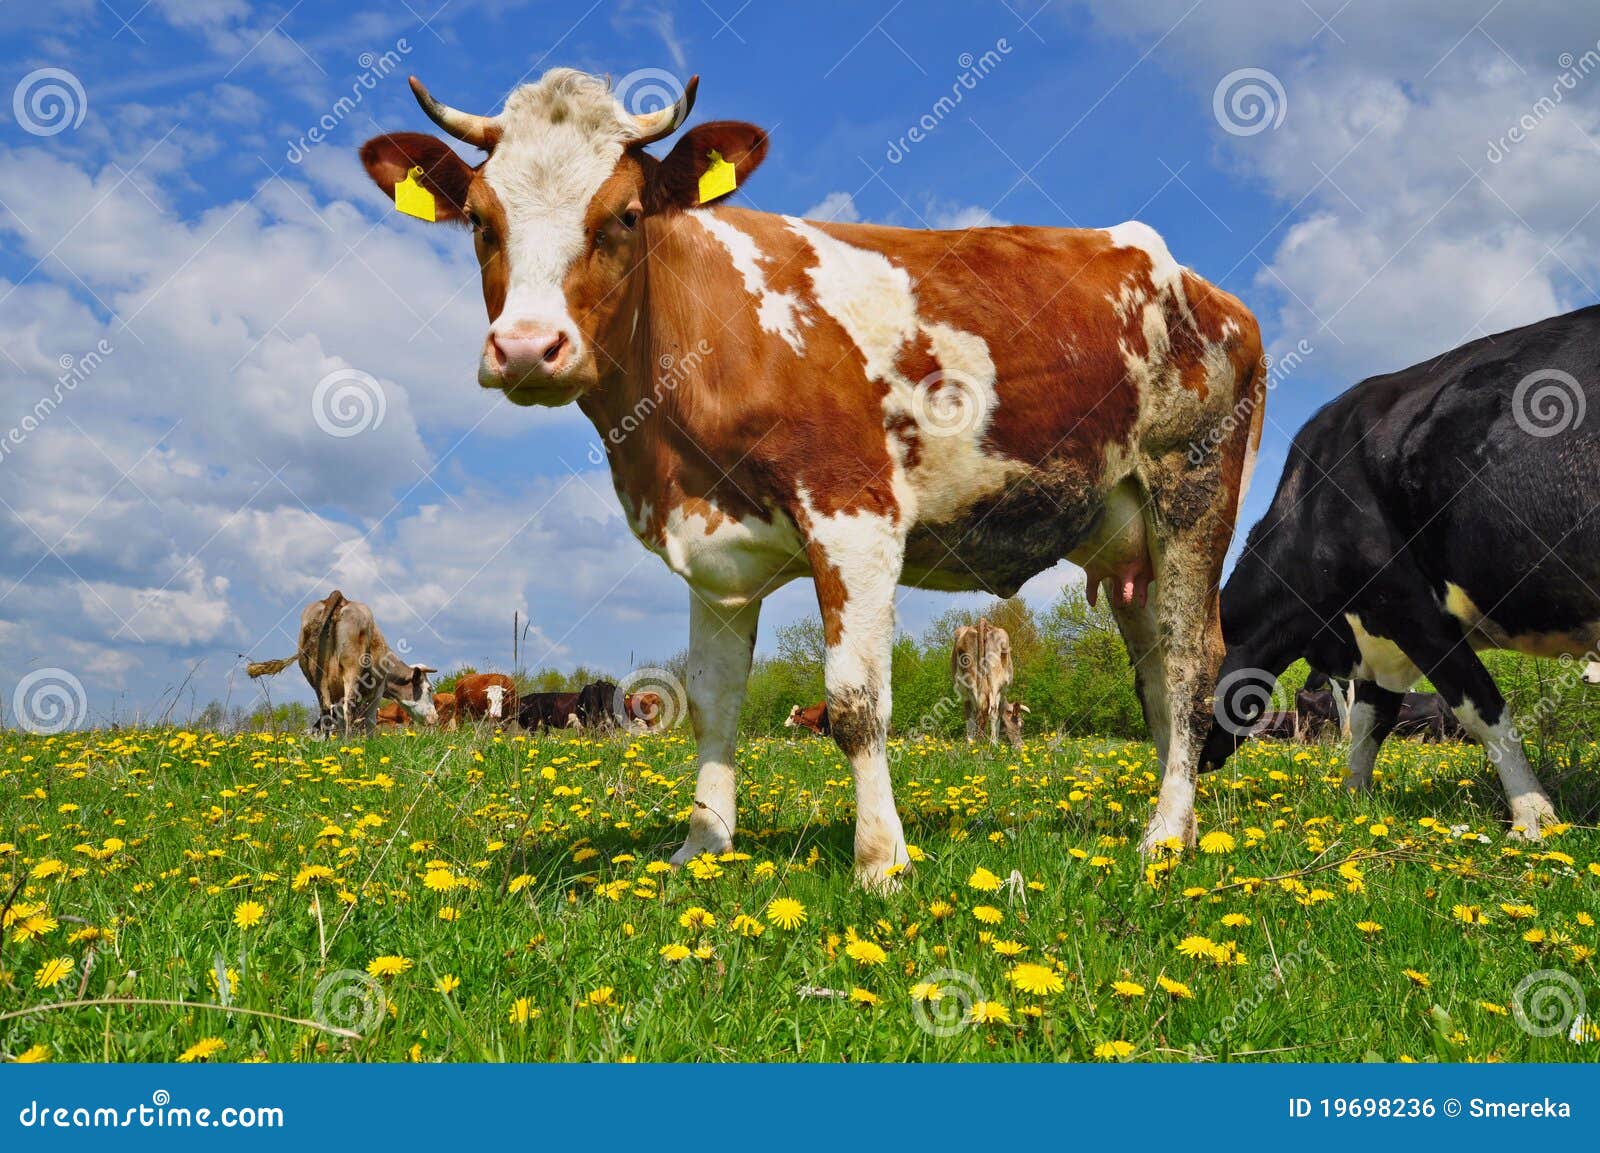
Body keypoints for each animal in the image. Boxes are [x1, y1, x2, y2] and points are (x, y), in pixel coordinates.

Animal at [247, 590, 438, 736]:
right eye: (429, 689)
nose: (435, 718)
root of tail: (340, 598)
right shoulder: (377, 692)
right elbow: (369, 722)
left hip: (314, 673)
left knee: (326, 709)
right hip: (352, 668)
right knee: (347, 708)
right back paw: (347, 742)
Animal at [360, 68, 1263, 881]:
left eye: (622, 215)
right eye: (481, 222)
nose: (525, 347)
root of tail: (1200, 286)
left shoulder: (854, 515)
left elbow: (856, 704)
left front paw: (881, 861)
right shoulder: (715, 547)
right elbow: (713, 699)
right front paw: (702, 843)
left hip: (1192, 492)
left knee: (1191, 666)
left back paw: (1162, 837)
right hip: (1128, 542)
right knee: (1156, 674)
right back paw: (1176, 820)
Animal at [1201, 307, 1600, 840]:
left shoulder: (1407, 608)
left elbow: (1482, 708)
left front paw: (1532, 817)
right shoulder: (1378, 635)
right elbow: (1370, 722)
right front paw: (1351, 800)